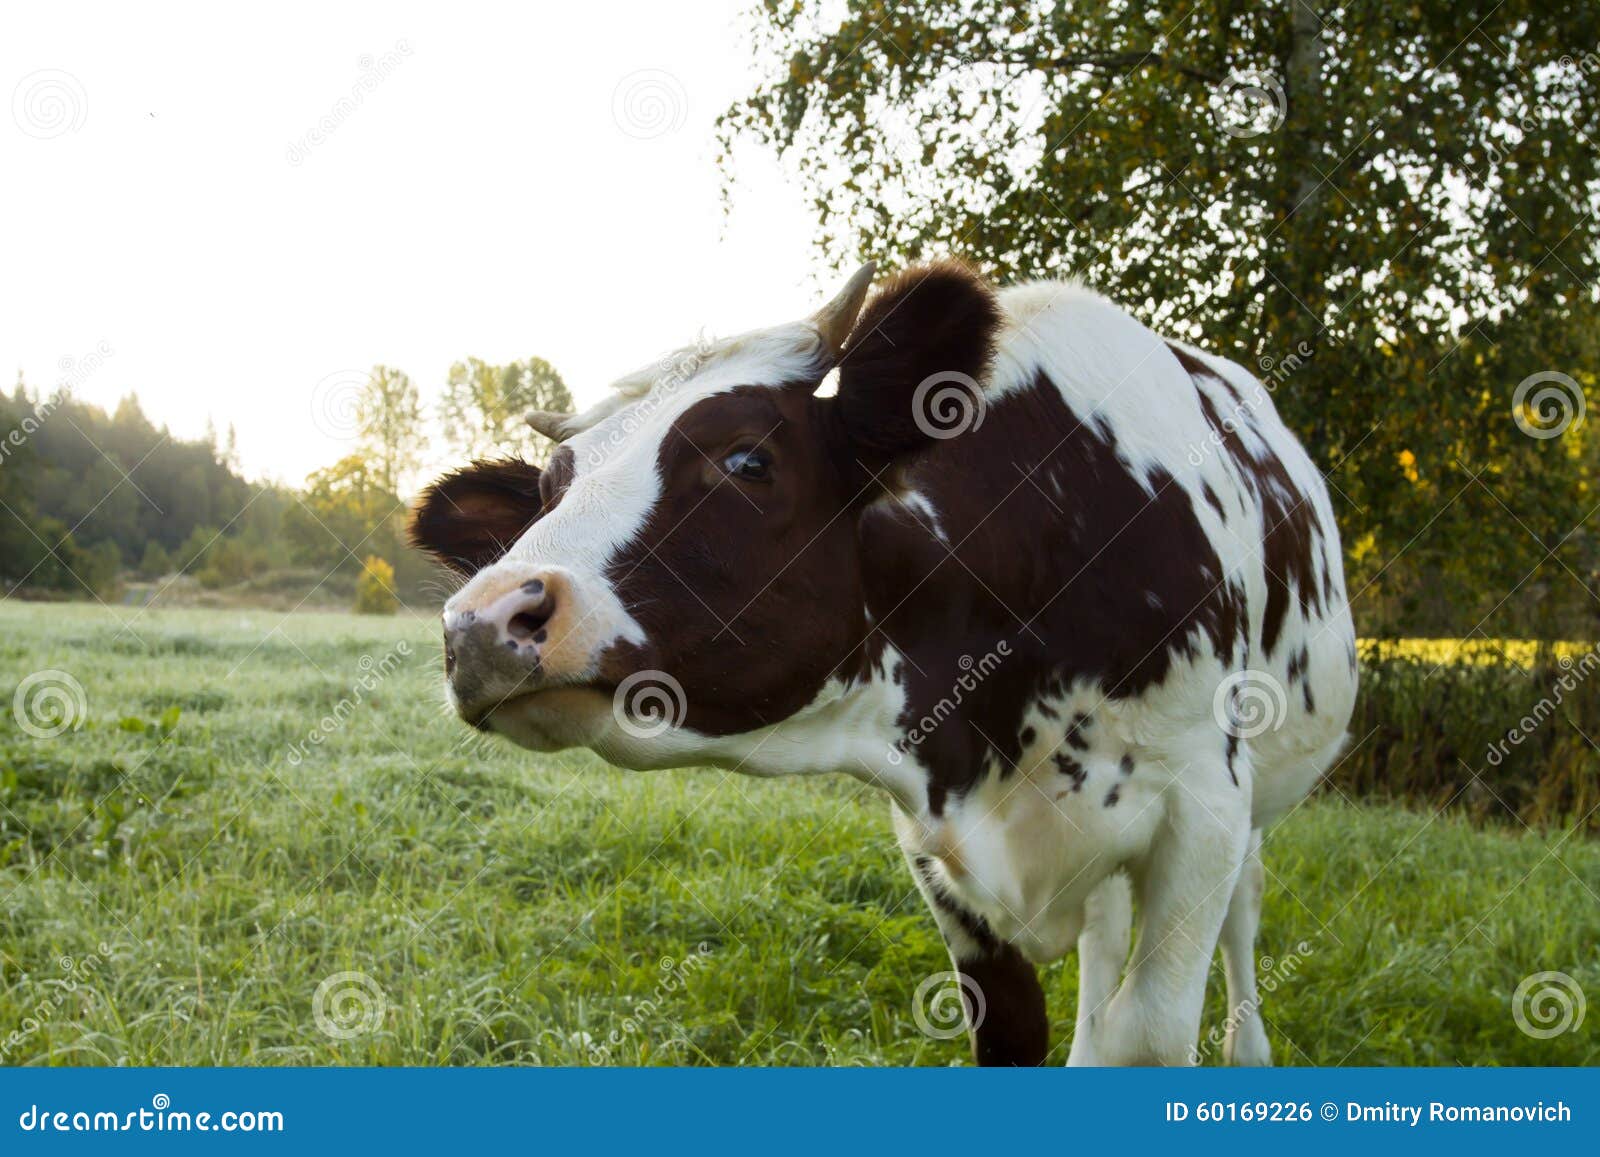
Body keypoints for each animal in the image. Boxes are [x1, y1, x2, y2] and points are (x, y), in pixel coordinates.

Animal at [409, 261, 1359, 1066]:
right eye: (548, 490)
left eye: (747, 458)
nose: (481, 622)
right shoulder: (939, 848)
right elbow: (1016, 1030)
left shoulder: (1204, 808)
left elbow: (1151, 1034)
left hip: (1254, 803)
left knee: (1241, 913)